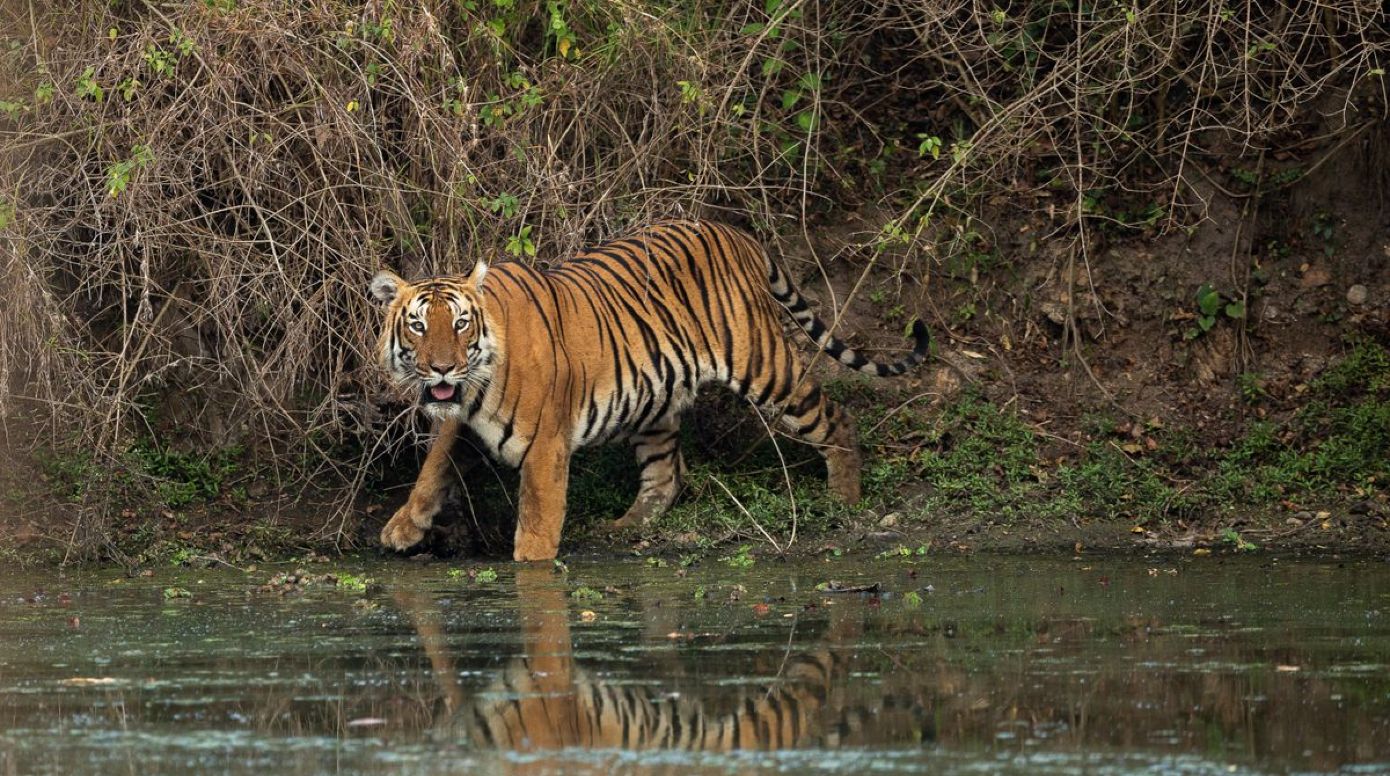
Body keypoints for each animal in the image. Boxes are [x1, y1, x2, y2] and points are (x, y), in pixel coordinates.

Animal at [369, 220, 930, 561]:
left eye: (461, 323)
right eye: (418, 326)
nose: (442, 369)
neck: (477, 383)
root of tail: (736, 233)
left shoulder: (546, 444)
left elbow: (537, 517)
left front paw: (532, 566)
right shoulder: (461, 418)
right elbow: (432, 469)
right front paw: (402, 529)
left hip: (767, 367)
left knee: (835, 417)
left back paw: (844, 499)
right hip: (652, 399)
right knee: (667, 472)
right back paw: (626, 526)